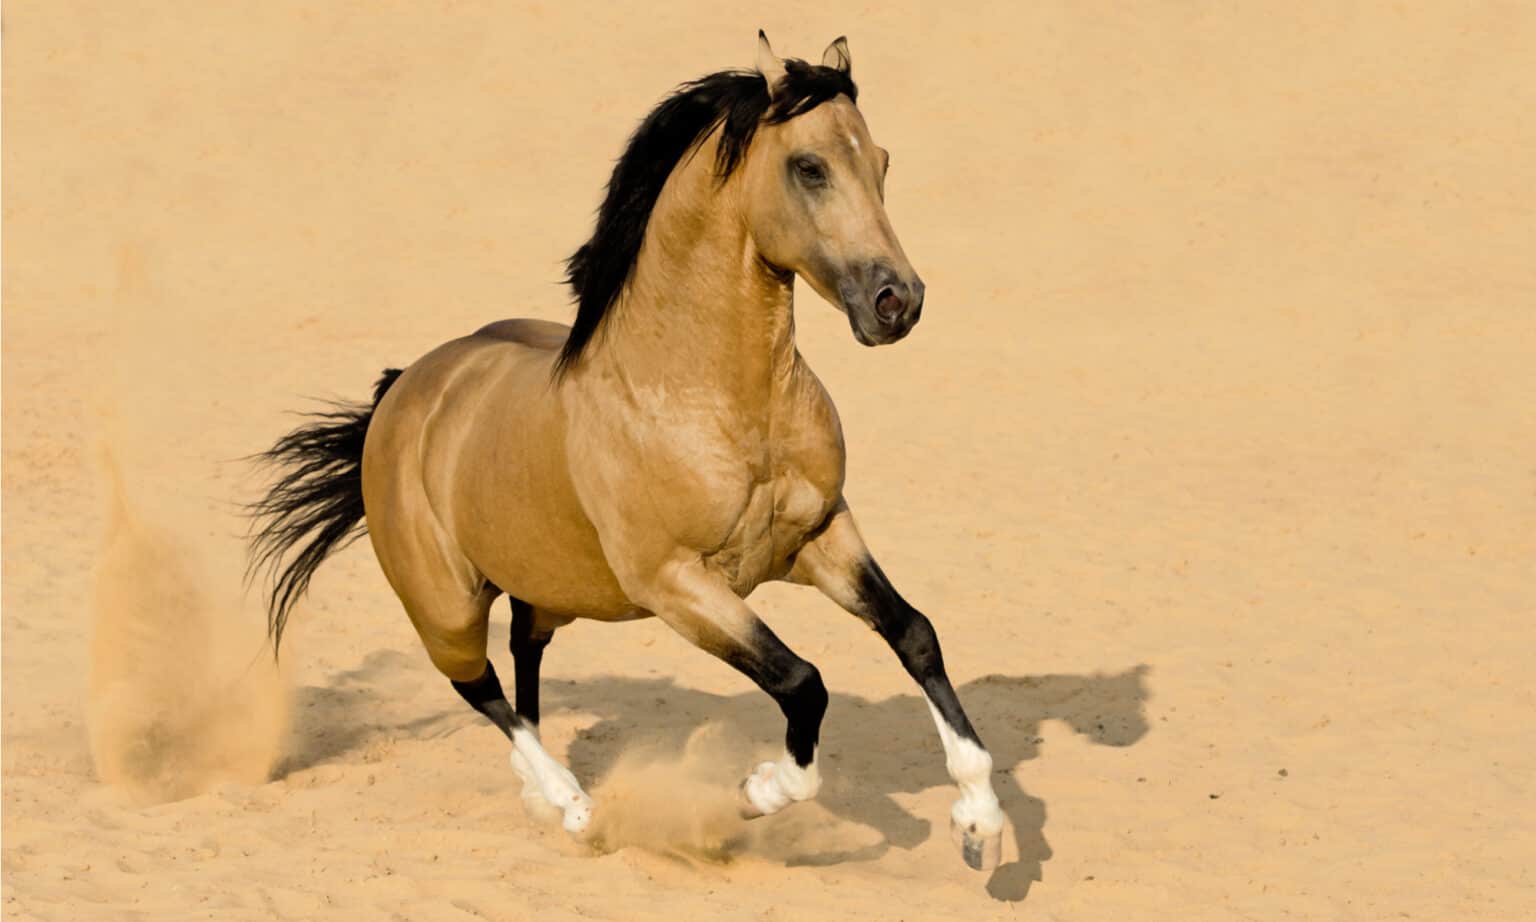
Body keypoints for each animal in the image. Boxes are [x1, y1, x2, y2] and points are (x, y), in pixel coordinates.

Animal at [248, 32, 1005, 871]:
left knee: (524, 660)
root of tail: (403, 392)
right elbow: (802, 681)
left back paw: (541, 791)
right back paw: (572, 807)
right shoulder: (678, 584)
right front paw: (755, 791)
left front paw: (980, 823)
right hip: (445, 608)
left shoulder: (820, 534)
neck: (714, 399)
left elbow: (915, 634)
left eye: (881, 161)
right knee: (480, 686)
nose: (897, 302)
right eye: (809, 167)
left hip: (546, 587)